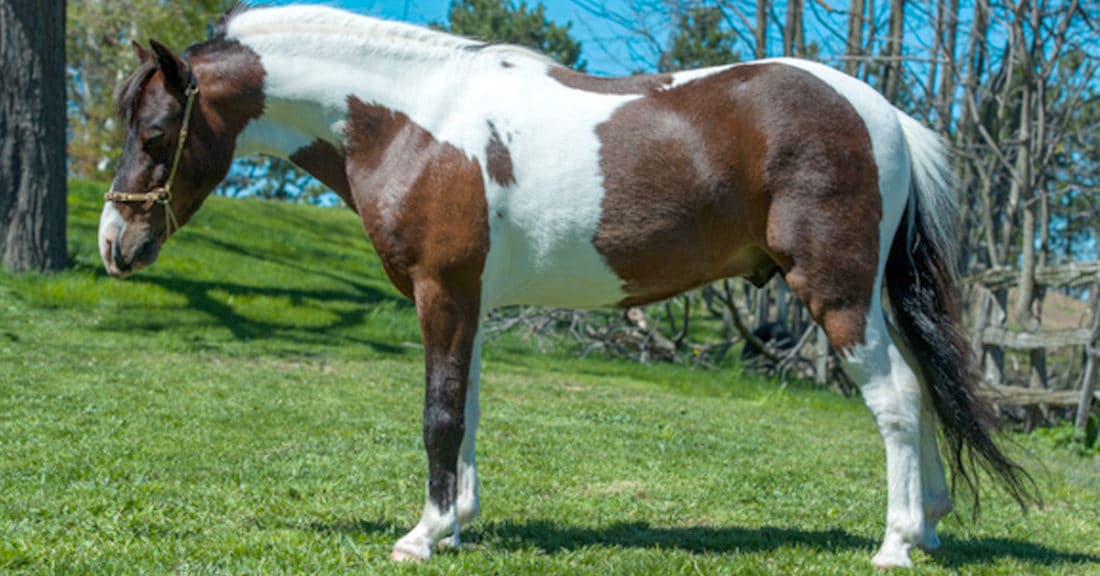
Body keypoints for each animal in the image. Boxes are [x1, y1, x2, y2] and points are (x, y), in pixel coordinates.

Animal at [99, 4, 1032, 568]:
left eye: (156, 133)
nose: (115, 244)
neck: (412, 121)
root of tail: (882, 113)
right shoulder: (469, 301)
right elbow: (468, 413)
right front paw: (459, 523)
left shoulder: (441, 293)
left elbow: (439, 415)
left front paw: (422, 535)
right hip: (873, 297)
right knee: (924, 391)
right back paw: (932, 526)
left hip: (835, 293)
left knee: (897, 400)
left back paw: (895, 543)